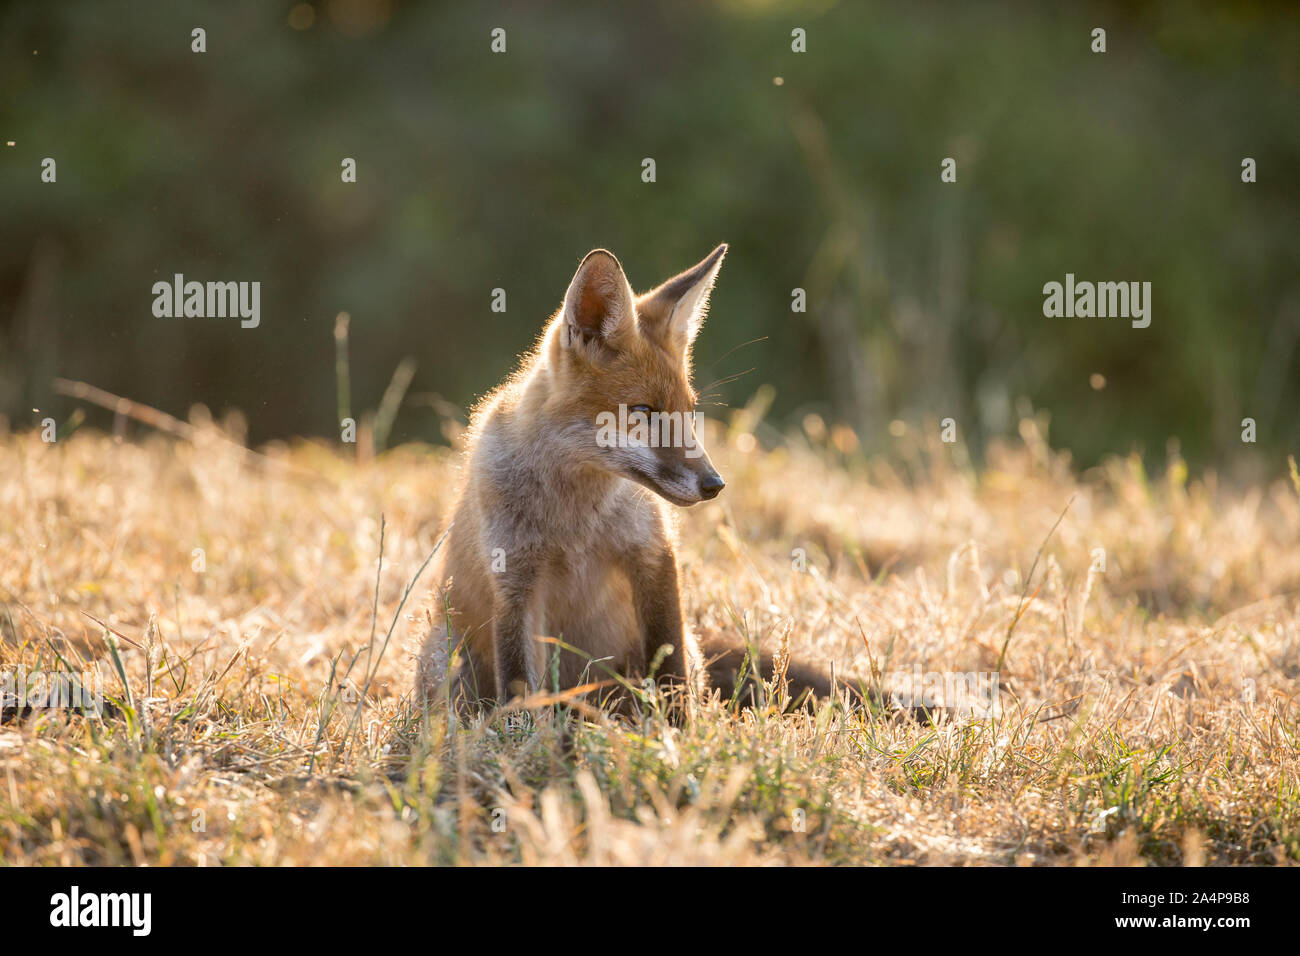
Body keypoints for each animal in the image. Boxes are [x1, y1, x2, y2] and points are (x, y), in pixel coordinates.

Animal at [416, 244, 853, 719]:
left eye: (689, 410)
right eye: (644, 411)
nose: (715, 484)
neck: (577, 521)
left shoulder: (653, 556)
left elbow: (671, 669)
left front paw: (679, 730)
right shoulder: (514, 579)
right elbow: (519, 687)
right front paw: (524, 738)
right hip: (448, 659)